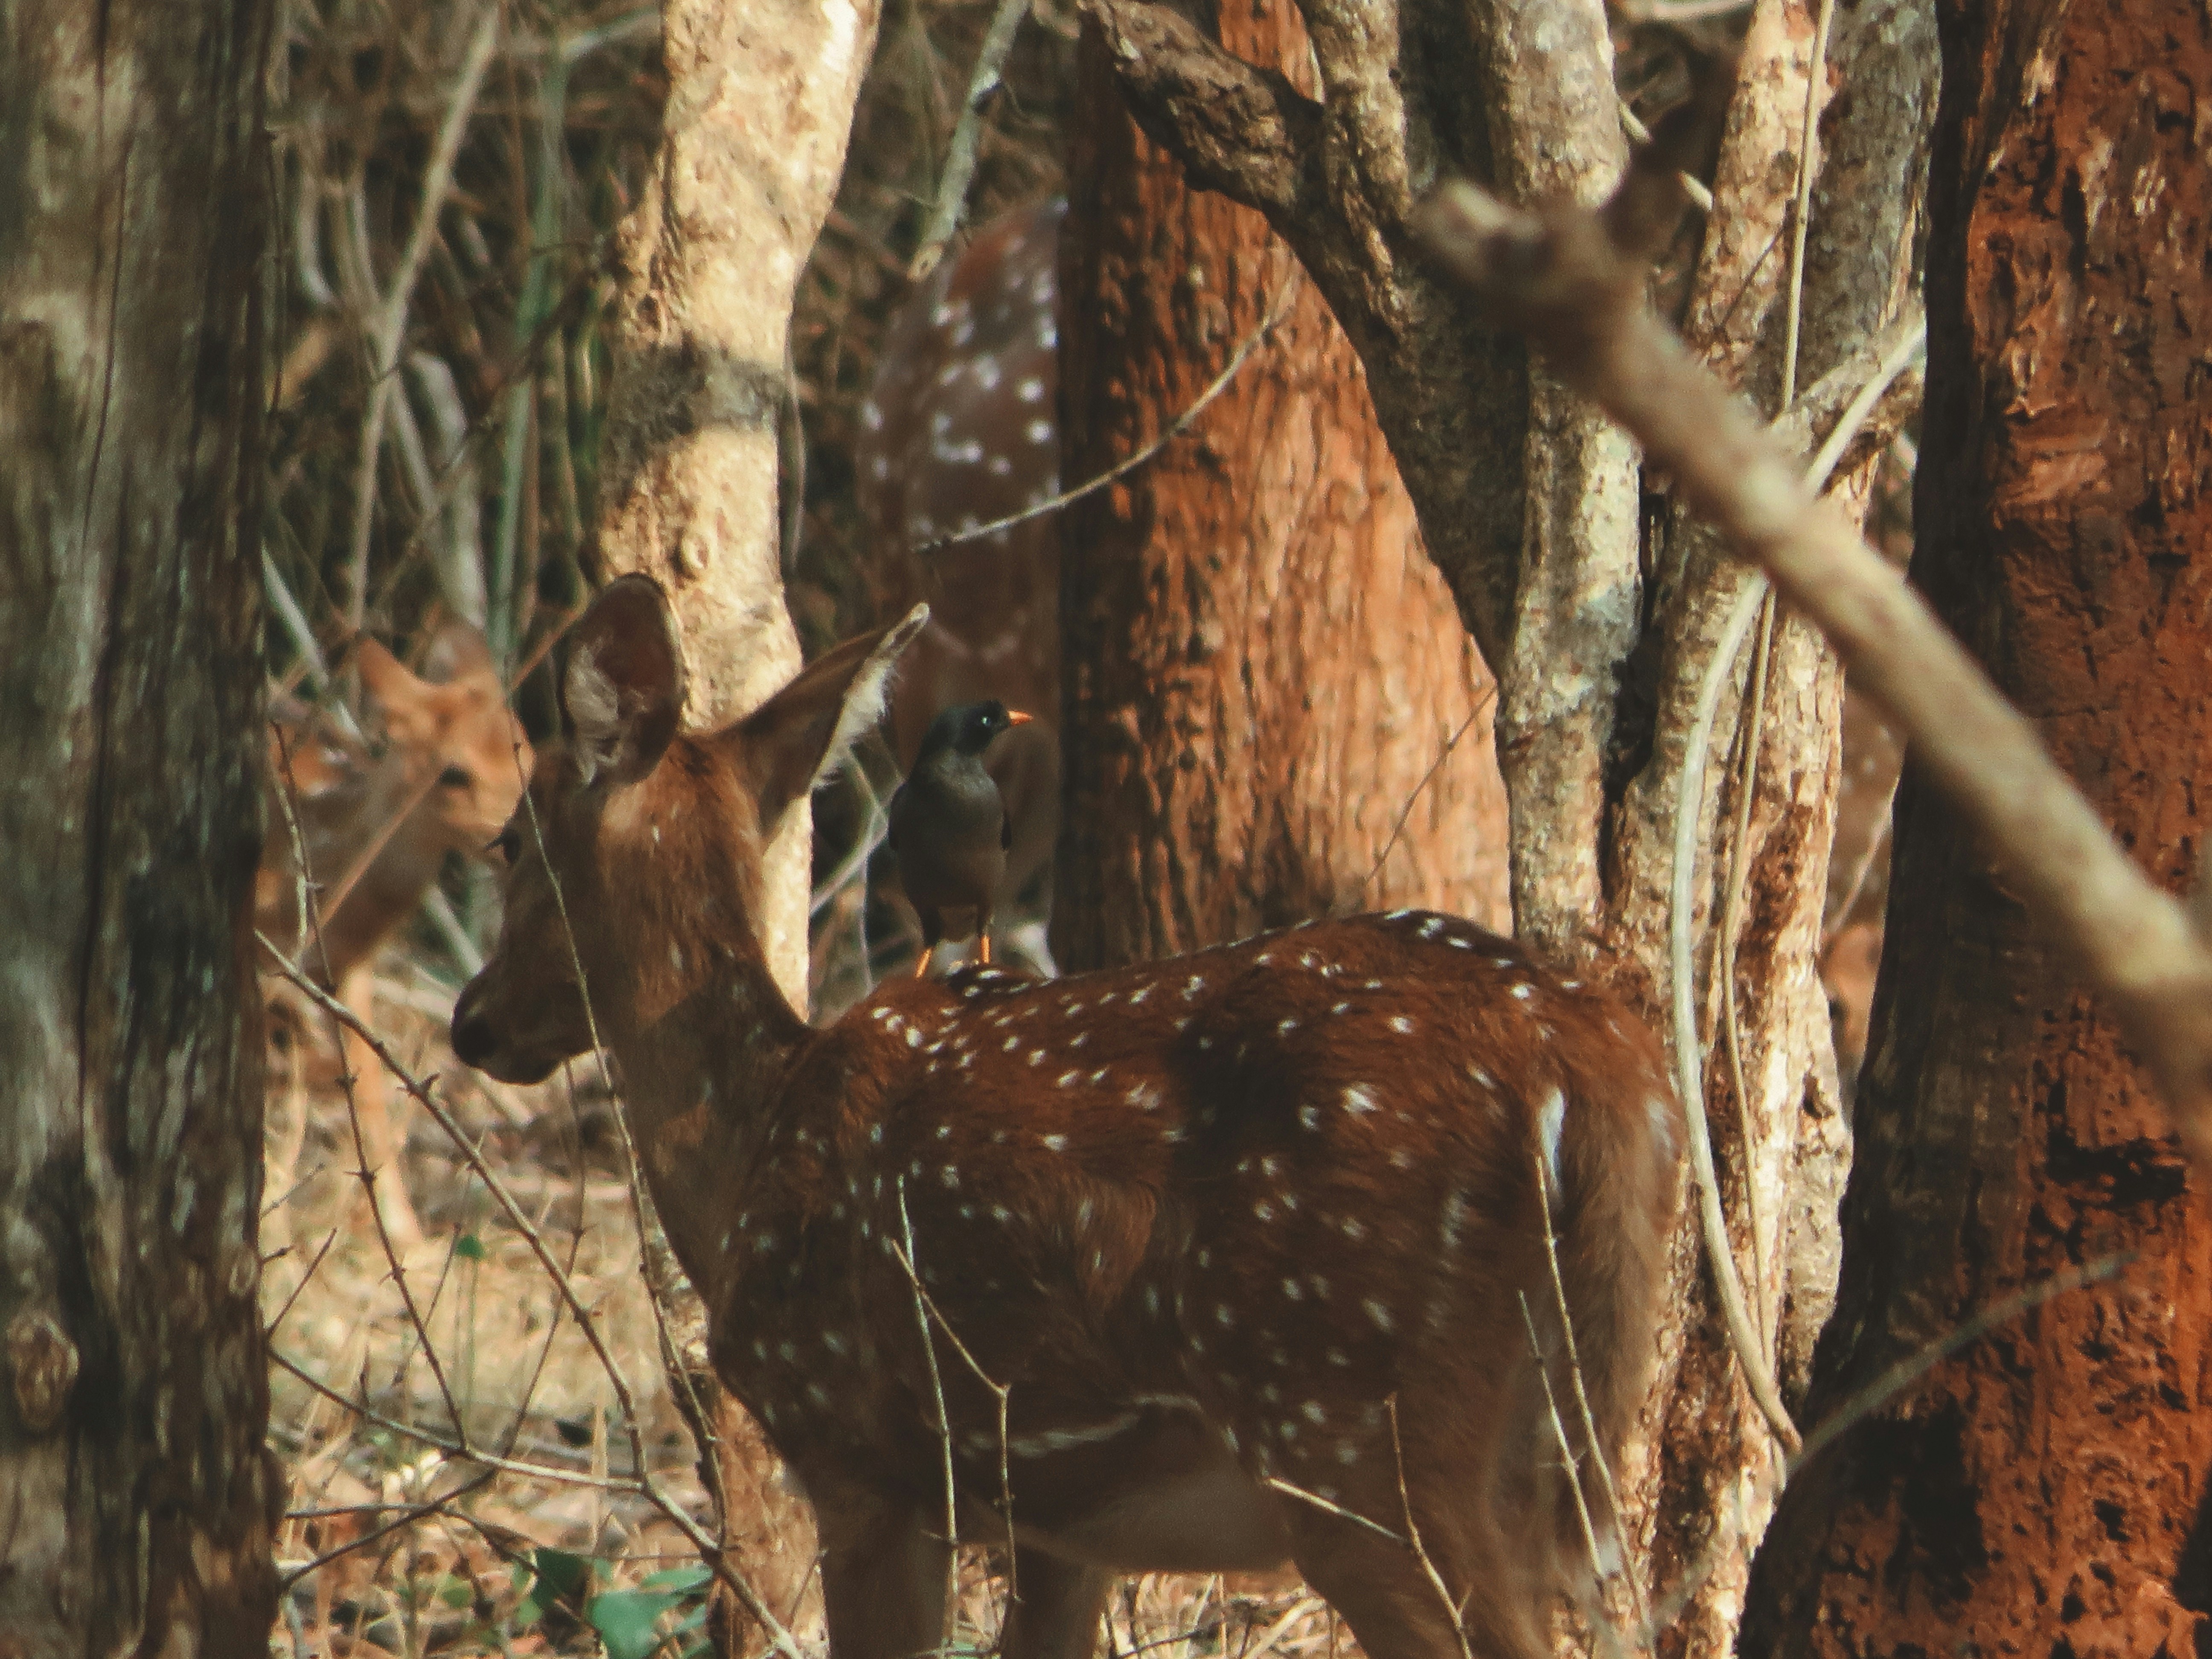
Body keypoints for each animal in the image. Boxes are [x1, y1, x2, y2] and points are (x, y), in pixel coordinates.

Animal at [261, 623, 530, 1246]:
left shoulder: (346, 968)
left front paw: (401, 1229)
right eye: (453, 773)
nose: (525, 837)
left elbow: (369, 1089)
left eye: (525, 748)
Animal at [449, 575, 1683, 1659]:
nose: (472, 1019)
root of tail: (1588, 1054)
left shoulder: (864, 1457)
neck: (752, 1141)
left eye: (509, 840)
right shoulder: (1065, 1527)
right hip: (1558, 1430)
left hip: (1350, 1420)